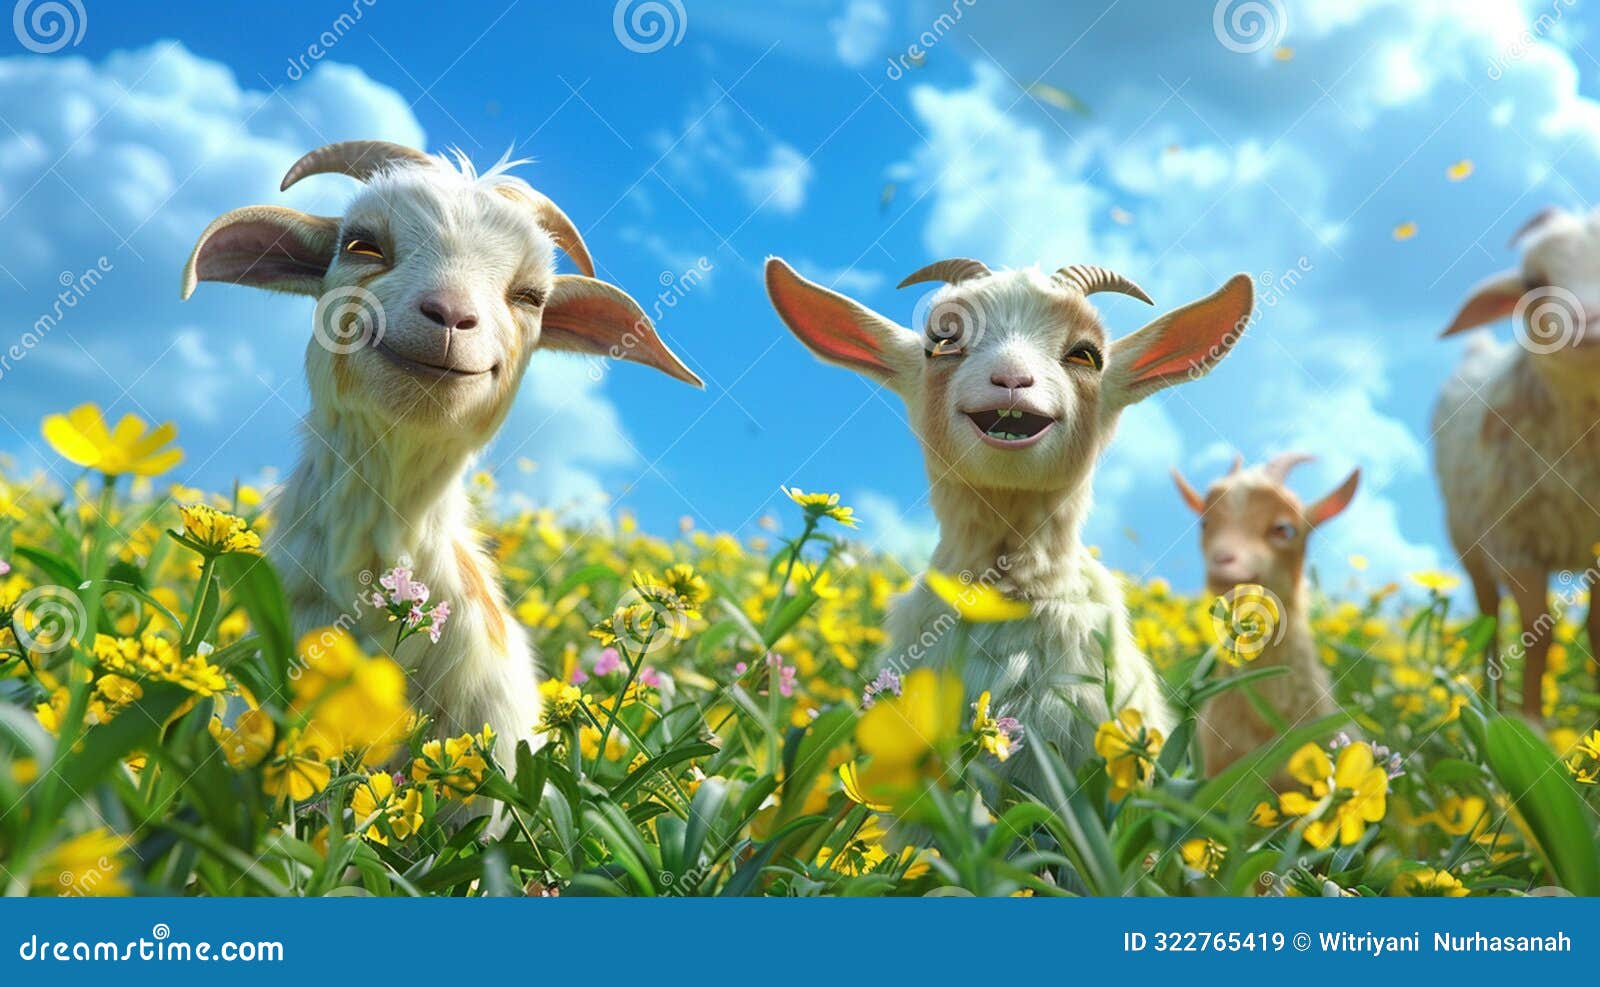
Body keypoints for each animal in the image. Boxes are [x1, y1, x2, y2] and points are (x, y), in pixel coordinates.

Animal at [1436, 205, 1600, 718]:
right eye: (1533, 282)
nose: (1590, 325)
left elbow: (1596, 629)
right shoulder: (1516, 544)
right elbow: (1537, 634)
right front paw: (1531, 722)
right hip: (1469, 541)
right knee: (1489, 615)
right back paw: (1490, 703)